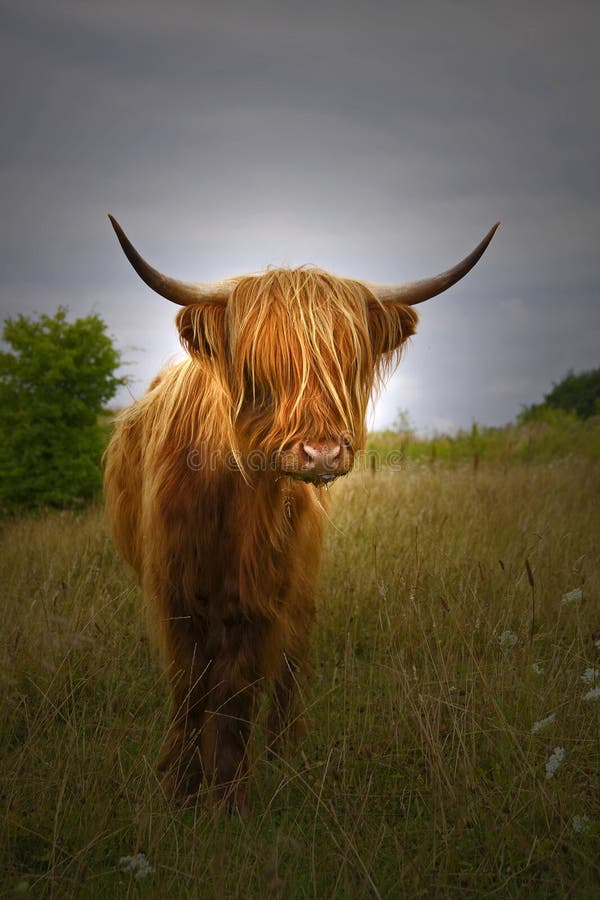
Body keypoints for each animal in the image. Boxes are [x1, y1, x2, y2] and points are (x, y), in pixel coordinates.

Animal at [104, 216, 498, 811]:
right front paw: (180, 788)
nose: (322, 453)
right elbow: (190, 687)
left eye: (347, 360)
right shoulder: (173, 591)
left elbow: (237, 693)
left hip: (302, 586)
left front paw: (229, 798)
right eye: (260, 364)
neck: (230, 505)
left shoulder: (262, 595)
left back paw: (283, 757)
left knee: (290, 666)